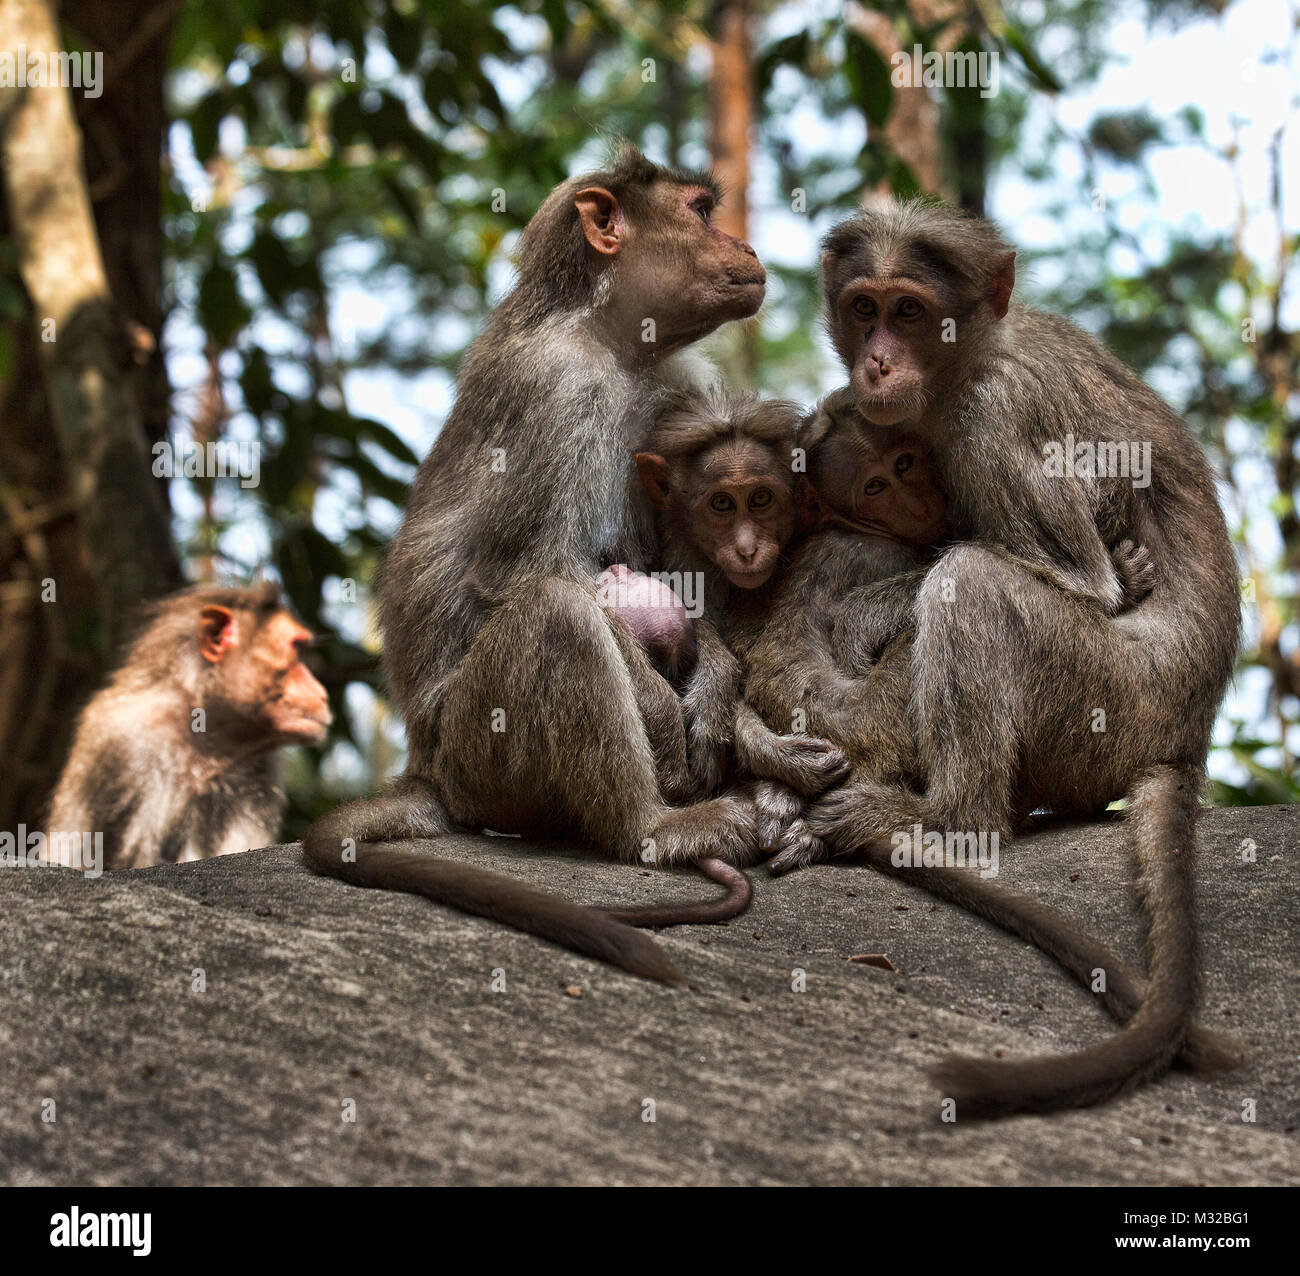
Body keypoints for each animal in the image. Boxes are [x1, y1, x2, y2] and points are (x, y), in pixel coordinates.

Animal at [303, 147, 769, 985]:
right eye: (700, 212)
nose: (746, 246)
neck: (609, 339)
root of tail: (427, 767)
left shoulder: (669, 392)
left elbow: (667, 569)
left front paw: (715, 686)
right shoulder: (553, 387)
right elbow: (524, 571)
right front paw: (661, 717)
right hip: (479, 757)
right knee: (557, 615)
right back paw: (651, 828)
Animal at [791, 198, 1244, 1115]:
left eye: (911, 310)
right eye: (864, 308)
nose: (878, 362)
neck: (968, 360)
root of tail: (1187, 732)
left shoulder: (992, 421)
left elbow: (1082, 583)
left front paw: (862, 612)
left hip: (1107, 699)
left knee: (973, 586)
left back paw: (944, 820)